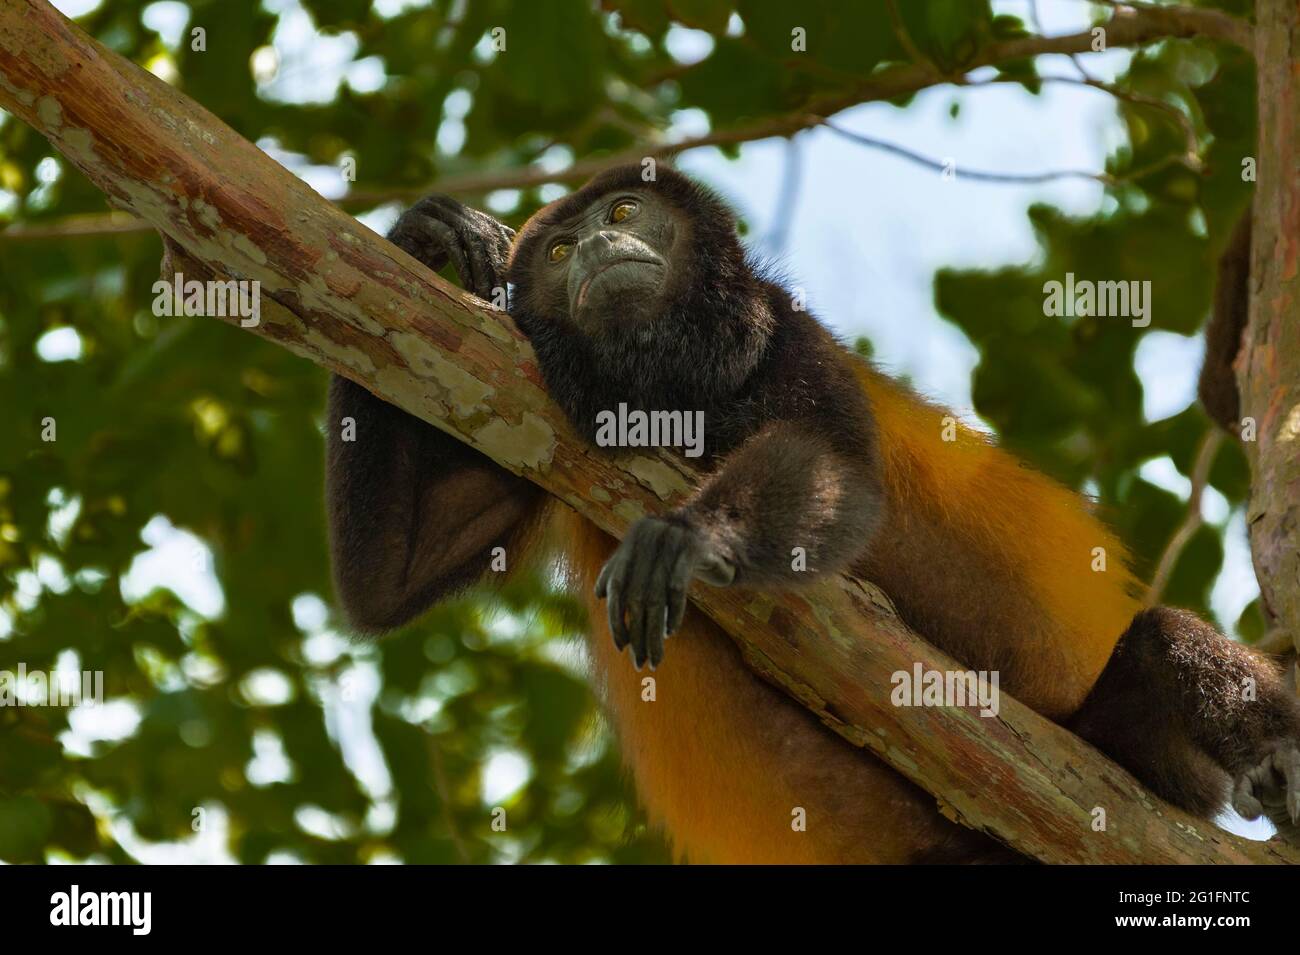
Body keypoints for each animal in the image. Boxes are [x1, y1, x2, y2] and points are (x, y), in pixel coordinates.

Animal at [326, 165, 1300, 863]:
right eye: (559, 253)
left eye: (627, 209)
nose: (599, 242)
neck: (669, 389)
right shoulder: (530, 398)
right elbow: (391, 577)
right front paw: (425, 237)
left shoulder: (782, 331)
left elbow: (838, 472)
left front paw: (691, 535)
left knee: (1166, 643)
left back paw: (1274, 760)